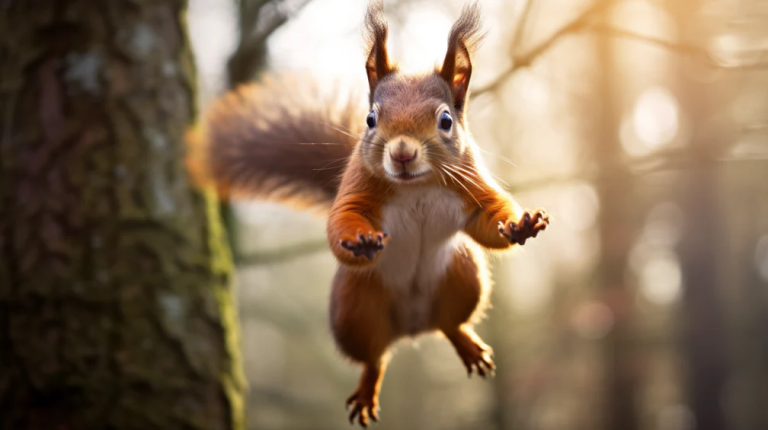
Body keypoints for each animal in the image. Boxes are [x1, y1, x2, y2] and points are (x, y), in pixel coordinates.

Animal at [189, 0, 550, 427]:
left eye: (446, 120)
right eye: (371, 119)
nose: (402, 152)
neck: (416, 186)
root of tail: (412, 327)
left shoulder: (471, 191)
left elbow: (489, 221)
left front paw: (519, 225)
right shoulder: (354, 197)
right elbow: (341, 224)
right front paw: (359, 240)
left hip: (464, 278)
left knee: (450, 323)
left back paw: (467, 344)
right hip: (354, 311)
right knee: (374, 356)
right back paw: (367, 388)